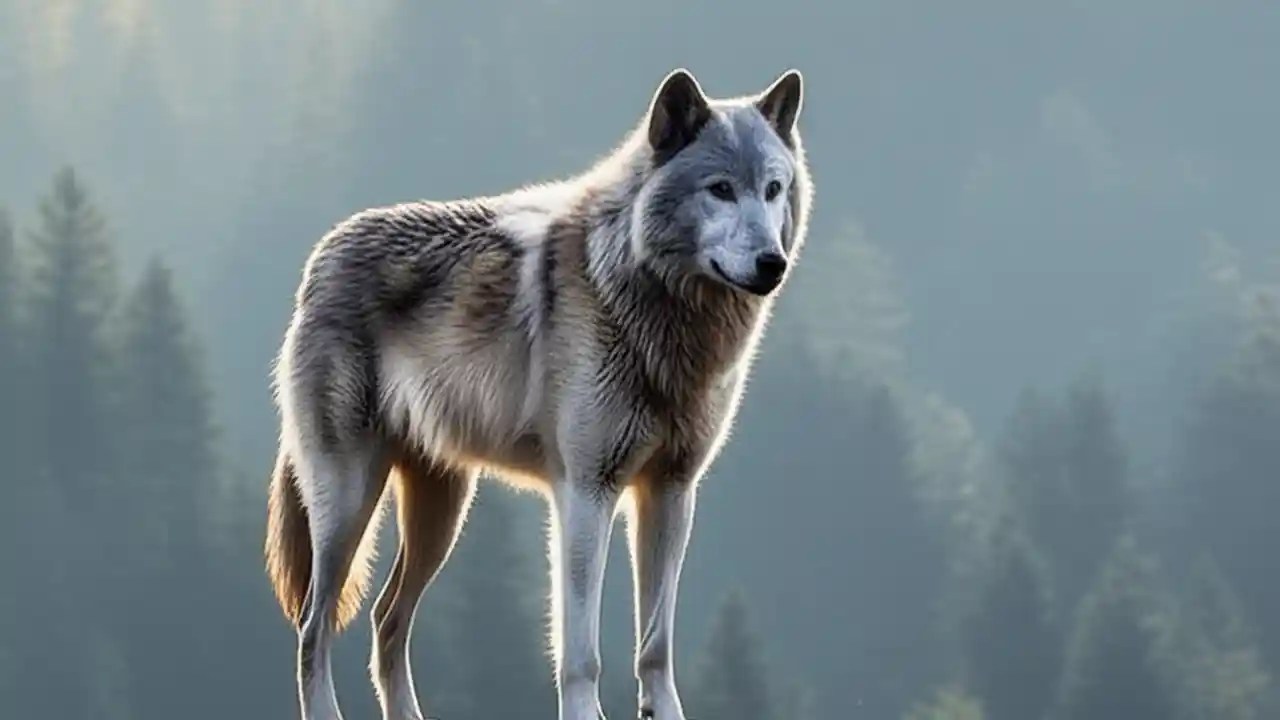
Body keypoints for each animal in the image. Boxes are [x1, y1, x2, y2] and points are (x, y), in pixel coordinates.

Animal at [264, 67, 812, 720]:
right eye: (721, 189)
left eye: (773, 189)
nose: (772, 263)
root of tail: (320, 258)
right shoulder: (586, 491)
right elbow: (581, 651)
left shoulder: (672, 493)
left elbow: (655, 646)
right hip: (349, 505)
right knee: (313, 627)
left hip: (442, 514)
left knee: (385, 619)